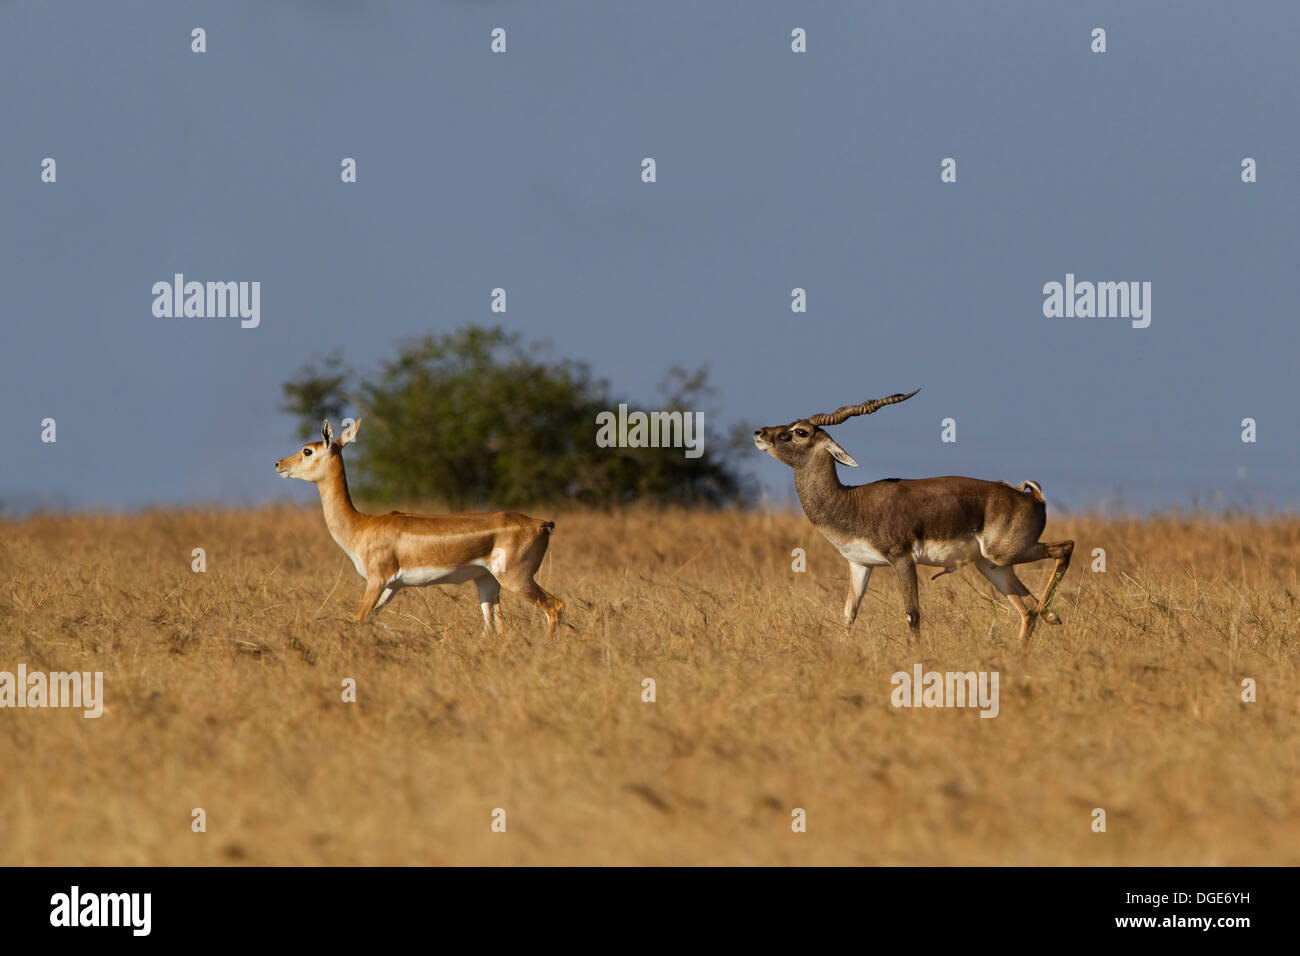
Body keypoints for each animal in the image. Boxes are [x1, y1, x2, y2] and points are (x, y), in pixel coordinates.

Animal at [275, 419, 564, 636]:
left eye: (308, 450)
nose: (278, 464)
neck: (361, 525)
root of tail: (542, 524)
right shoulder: (392, 587)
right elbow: (370, 618)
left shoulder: (377, 580)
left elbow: (358, 618)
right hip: (487, 582)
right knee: (495, 629)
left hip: (516, 579)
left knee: (555, 606)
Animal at [754, 390, 1073, 643]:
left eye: (800, 432)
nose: (760, 433)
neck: (851, 501)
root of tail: (1032, 497)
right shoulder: (859, 564)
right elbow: (849, 614)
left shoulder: (902, 559)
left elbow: (912, 614)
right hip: (992, 565)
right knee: (1027, 609)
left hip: (1007, 553)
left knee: (1065, 549)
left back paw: (1049, 616)